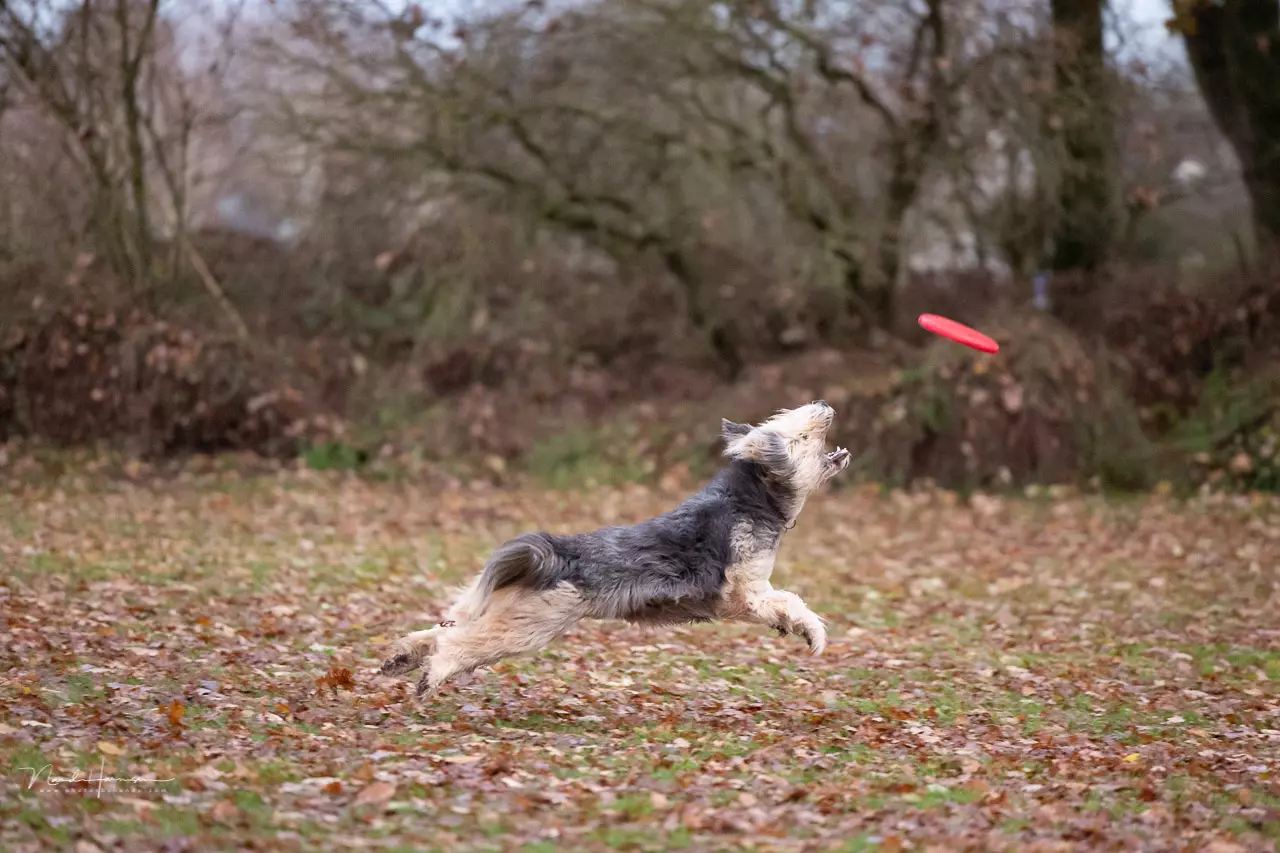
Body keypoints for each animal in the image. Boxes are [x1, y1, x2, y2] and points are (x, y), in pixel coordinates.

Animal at [376, 399, 849, 696]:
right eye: (798, 434)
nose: (823, 402)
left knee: (442, 631)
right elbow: (790, 602)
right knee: (457, 646)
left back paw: (400, 657)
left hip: (498, 608)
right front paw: (811, 633)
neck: (749, 498)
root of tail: (553, 554)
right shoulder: (744, 592)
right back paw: (431, 676)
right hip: (528, 625)